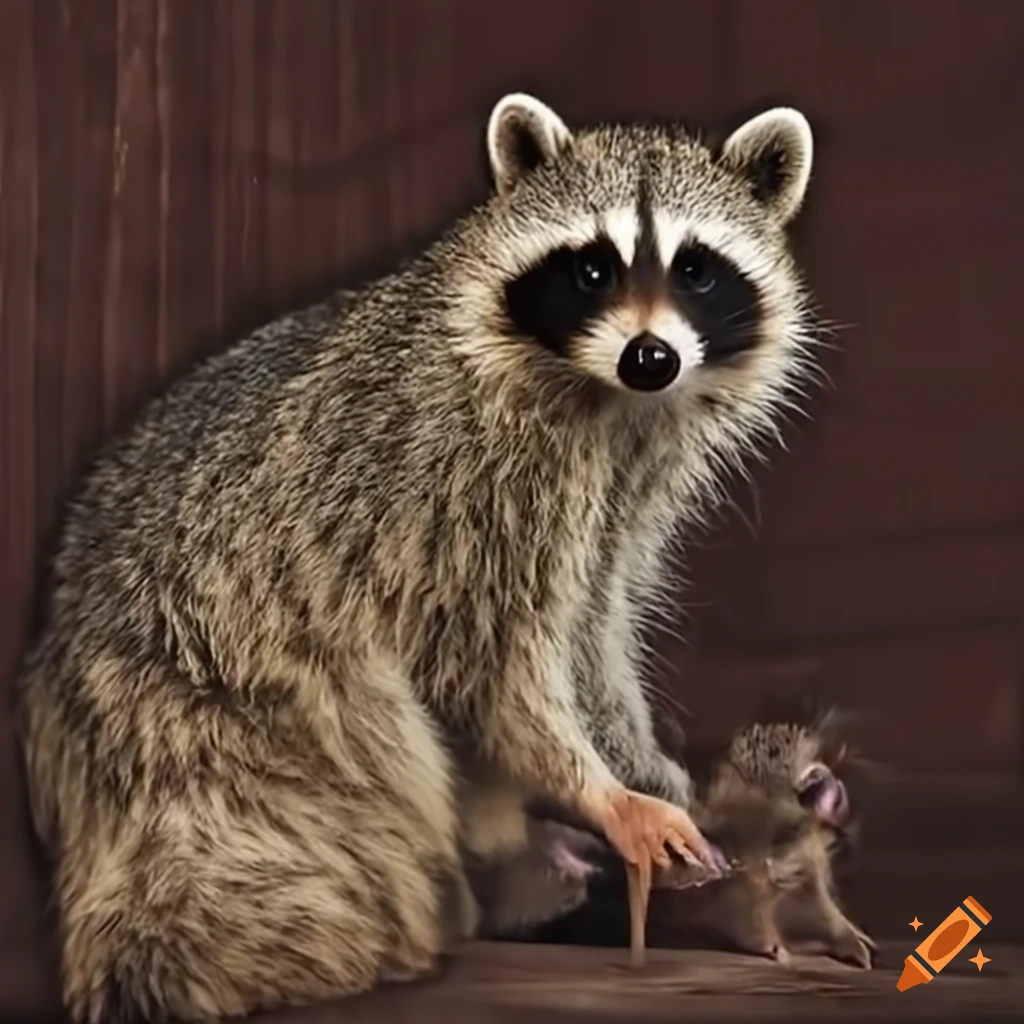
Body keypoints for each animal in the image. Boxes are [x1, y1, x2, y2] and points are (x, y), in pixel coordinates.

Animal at [16, 91, 819, 1023]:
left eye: (697, 269)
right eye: (591, 270)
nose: (650, 357)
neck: (609, 400)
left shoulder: (622, 494)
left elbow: (592, 623)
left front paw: (641, 762)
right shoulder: (460, 483)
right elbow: (488, 658)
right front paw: (594, 785)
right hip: (214, 705)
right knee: (366, 765)